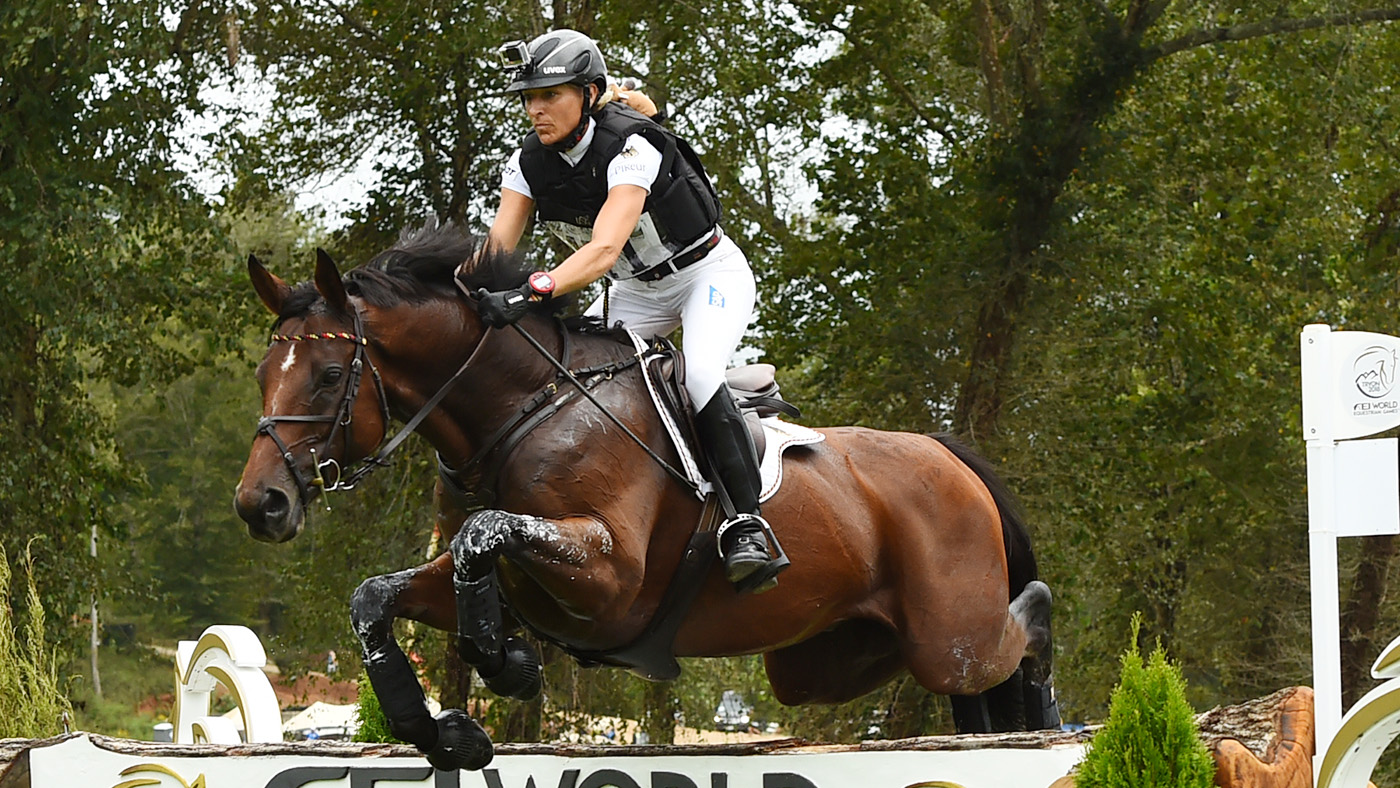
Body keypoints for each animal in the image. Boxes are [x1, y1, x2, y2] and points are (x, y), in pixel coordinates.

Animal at [233, 224, 1060, 770]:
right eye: (263, 376)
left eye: (330, 378)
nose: (258, 504)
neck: (523, 408)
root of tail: (948, 454)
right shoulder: (513, 574)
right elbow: (376, 597)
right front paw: (447, 729)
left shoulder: (610, 578)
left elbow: (482, 537)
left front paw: (508, 665)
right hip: (830, 660)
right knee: (965, 683)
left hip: (947, 637)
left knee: (1027, 620)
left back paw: (1049, 715)